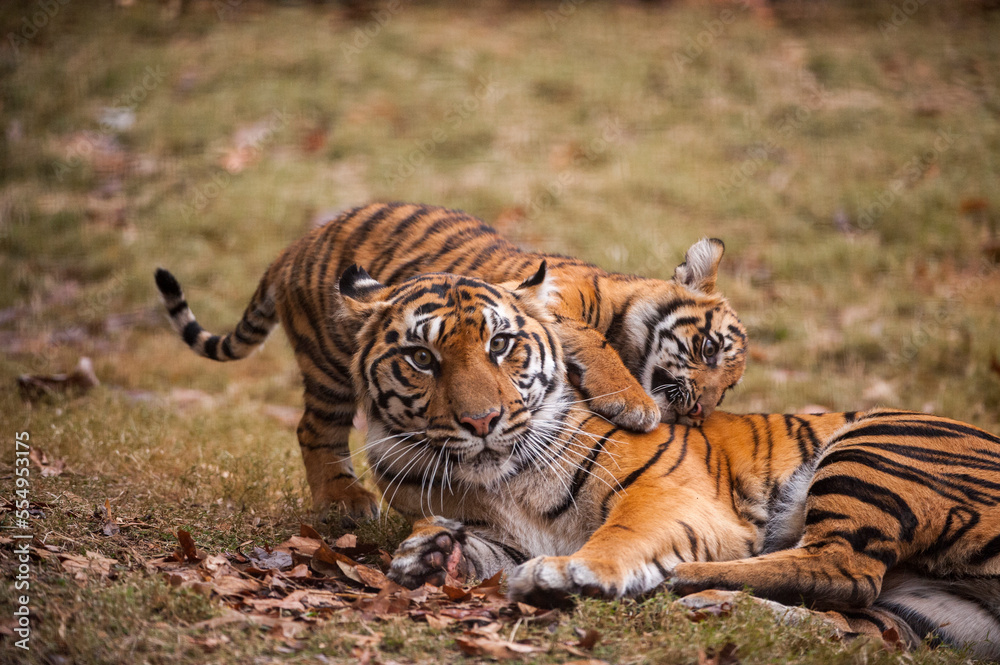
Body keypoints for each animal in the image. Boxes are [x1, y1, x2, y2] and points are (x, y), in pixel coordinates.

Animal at [154, 202, 747, 519]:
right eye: (710, 348)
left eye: (730, 390)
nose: (699, 411)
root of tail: (294, 246)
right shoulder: (551, 304)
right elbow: (590, 343)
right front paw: (632, 400)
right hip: (329, 368)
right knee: (313, 430)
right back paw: (344, 500)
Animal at [337, 266, 1000, 659]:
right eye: (421, 358)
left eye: (500, 345)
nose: (482, 421)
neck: (494, 476)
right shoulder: (498, 529)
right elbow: (478, 547)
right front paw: (431, 555)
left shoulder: (665, 490)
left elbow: (619, 534)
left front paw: (567, 573)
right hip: (934, 614)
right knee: (861, 621)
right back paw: (711, 603)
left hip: (872, 443)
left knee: (845, 567)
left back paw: (686, 581)